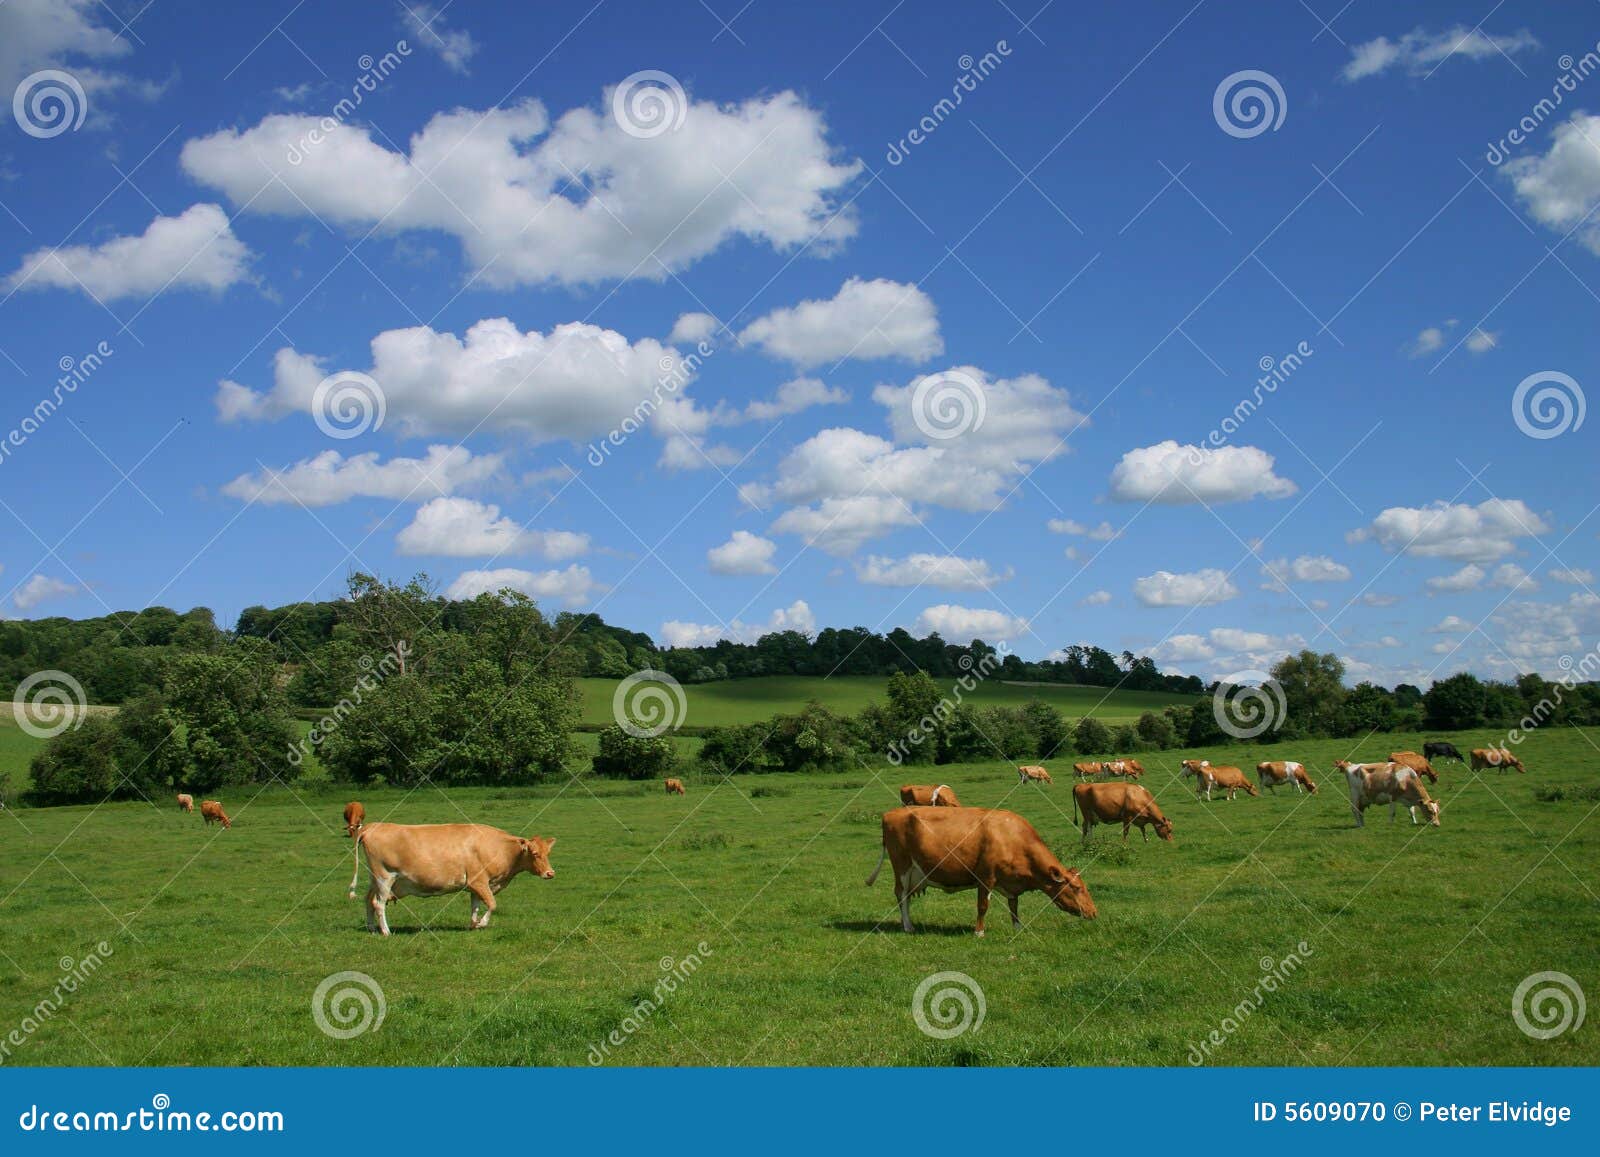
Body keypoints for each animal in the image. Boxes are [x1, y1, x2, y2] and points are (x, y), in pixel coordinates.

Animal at [348, 819, 556, 934]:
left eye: (548, 853)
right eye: (535, 854)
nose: (550, 873)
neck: (500, 848)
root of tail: (371, 827)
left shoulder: (475, 885)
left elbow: (475, 906)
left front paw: (473, 924)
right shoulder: (479, 881)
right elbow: (492, 904)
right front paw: (481, 924)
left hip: (375, 879)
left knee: (368, 900)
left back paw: (372, 928)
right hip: (385, 878)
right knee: (379, 904)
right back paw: (386, 931)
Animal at [864, 809, 1100, 934]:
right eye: (1077, 888)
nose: (1094, 912)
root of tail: (890, 813)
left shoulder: (1011, 883)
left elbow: (1014, 906)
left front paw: (1017, 928)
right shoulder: (986, 877)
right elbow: (983, 906)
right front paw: (979, 932)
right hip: (902, 867)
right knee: (901, 895)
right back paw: (908, 926)